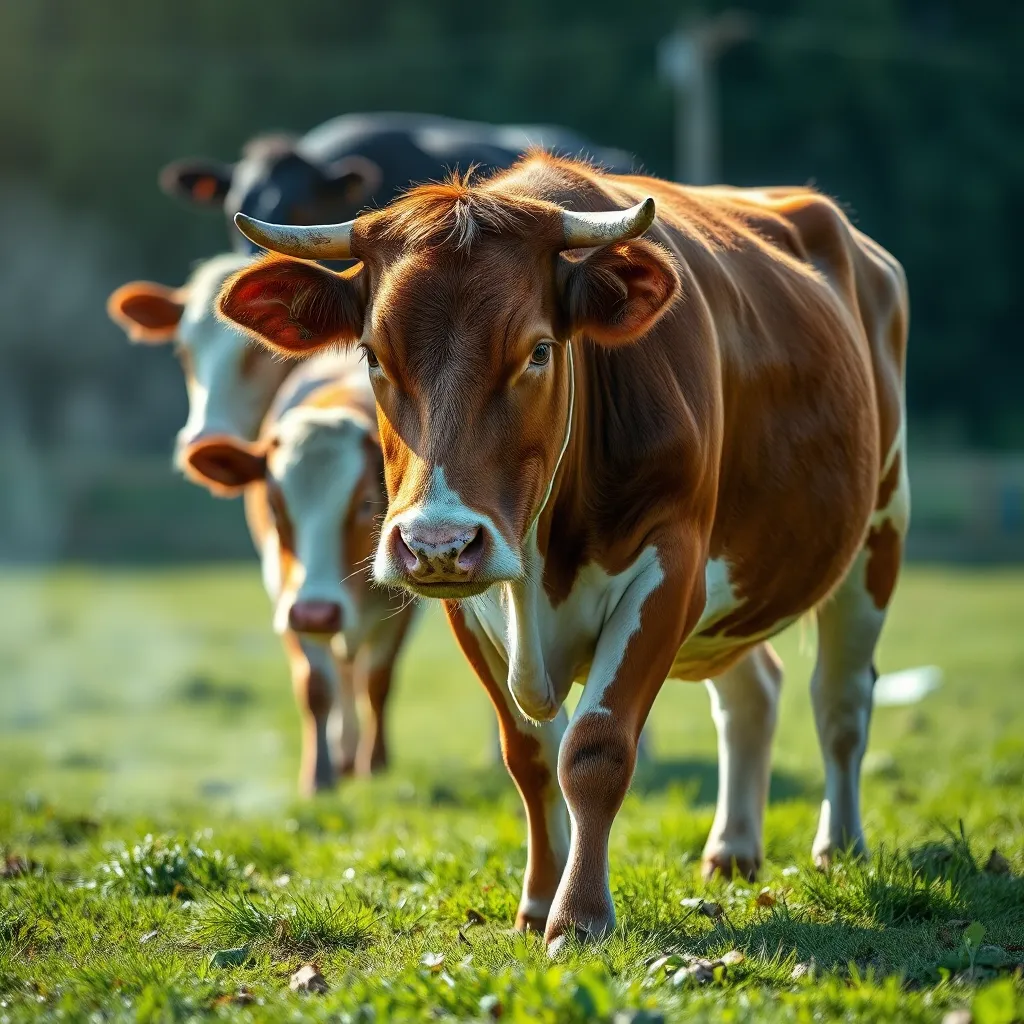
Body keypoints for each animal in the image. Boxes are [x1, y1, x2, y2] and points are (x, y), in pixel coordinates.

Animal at [185, 352, 416, 794]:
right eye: (274, 506)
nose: (317, 612)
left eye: (366, 503)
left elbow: (377, 681)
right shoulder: (287, 595)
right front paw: (319, 776)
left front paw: (375, 766)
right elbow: (316, 687)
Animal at [215, 153, 910, 949]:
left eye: (539, 351)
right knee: (752, 693)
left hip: (878, 531)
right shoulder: (467, 603)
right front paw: (537, 902)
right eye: (372, 355)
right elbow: (529, 758)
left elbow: (595, 750)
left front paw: (578, 915)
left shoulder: (671, 569)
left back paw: (840, 846)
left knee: (841, 699)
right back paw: (733, 849)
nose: (438, 541)